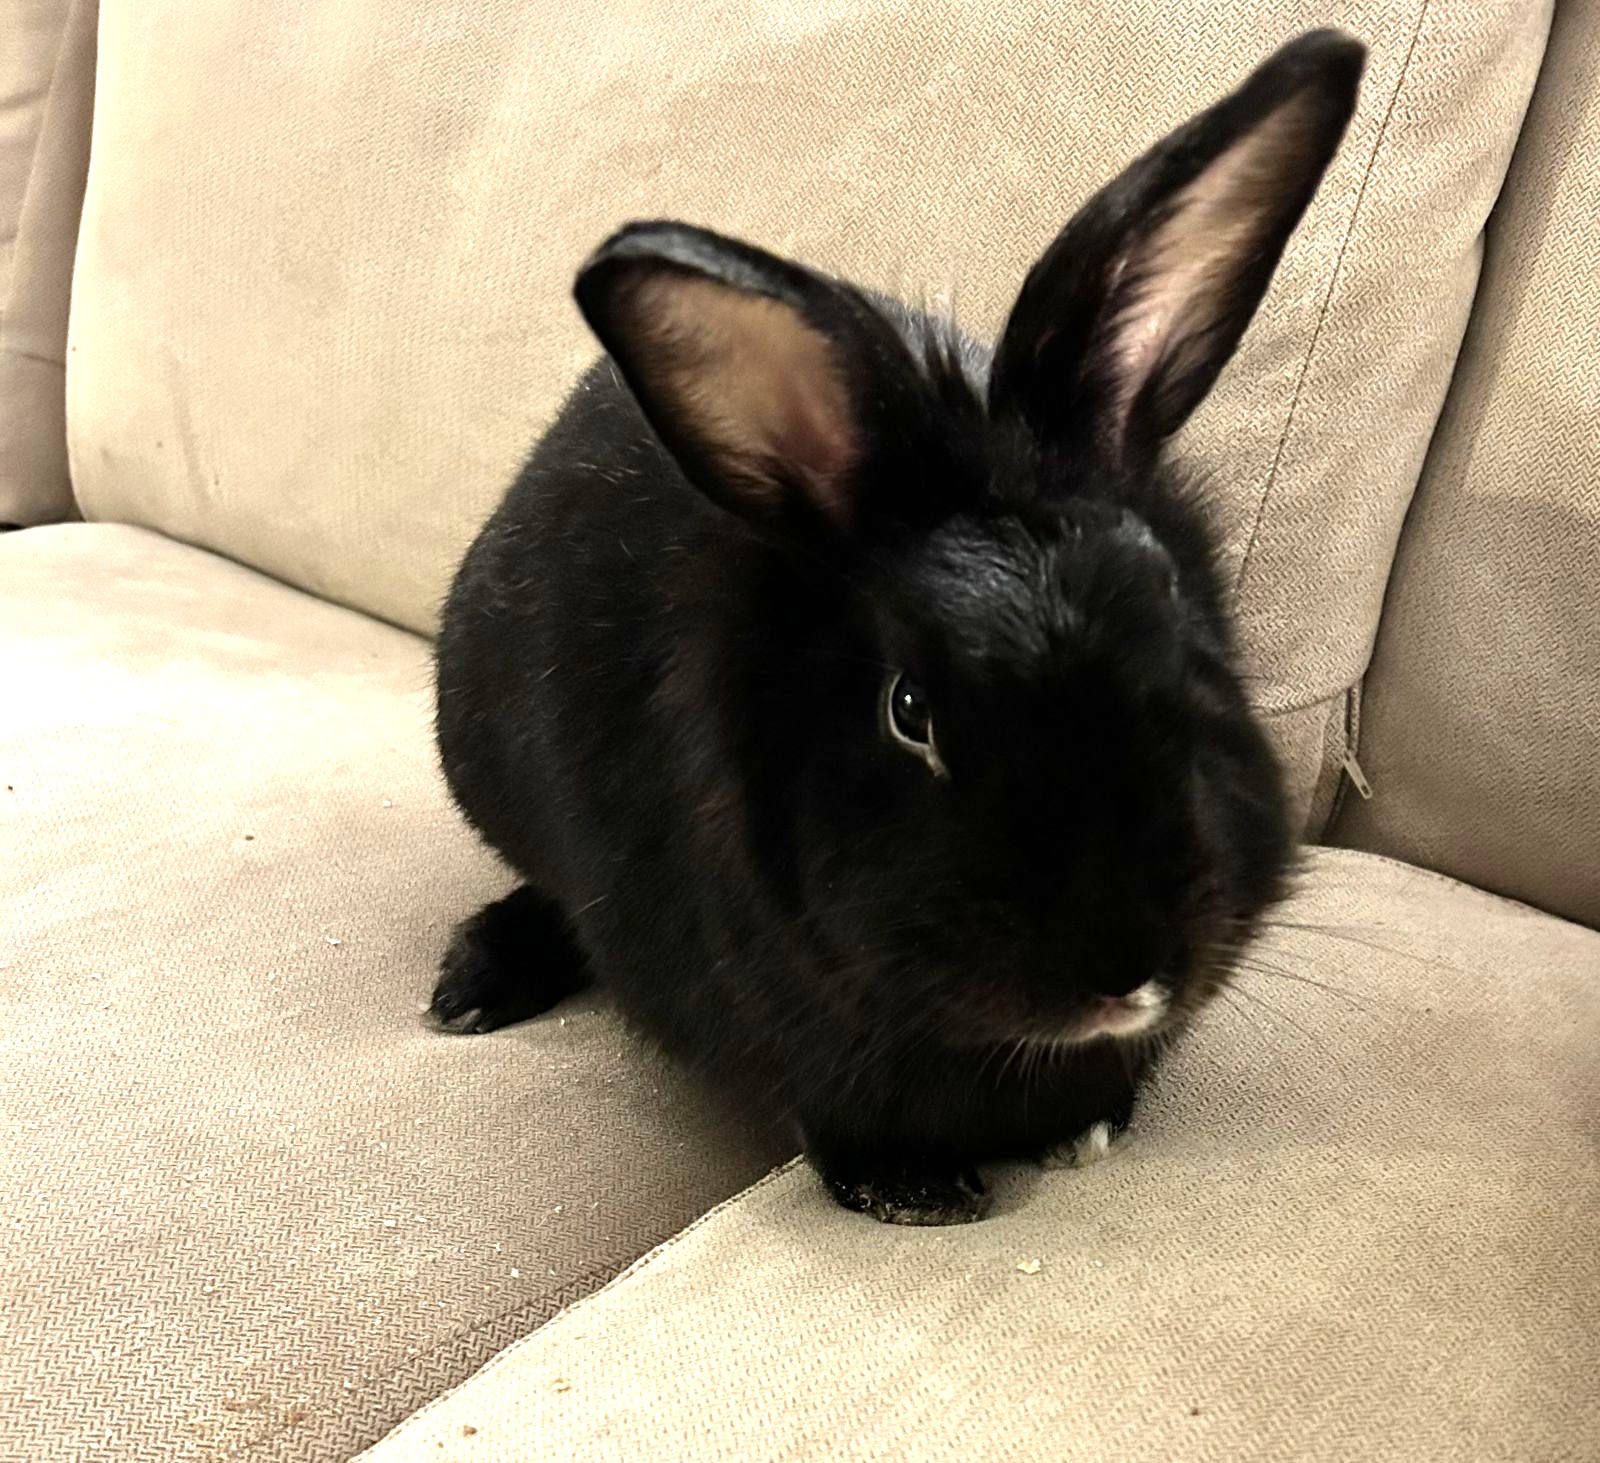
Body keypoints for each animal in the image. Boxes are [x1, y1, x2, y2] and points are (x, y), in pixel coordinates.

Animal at [431, 30, 1364, 1224]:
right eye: (908, 709)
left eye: (1184, 635)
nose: (1121, 969)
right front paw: (916, 1191)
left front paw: (1083, 1129)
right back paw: (472, 983)